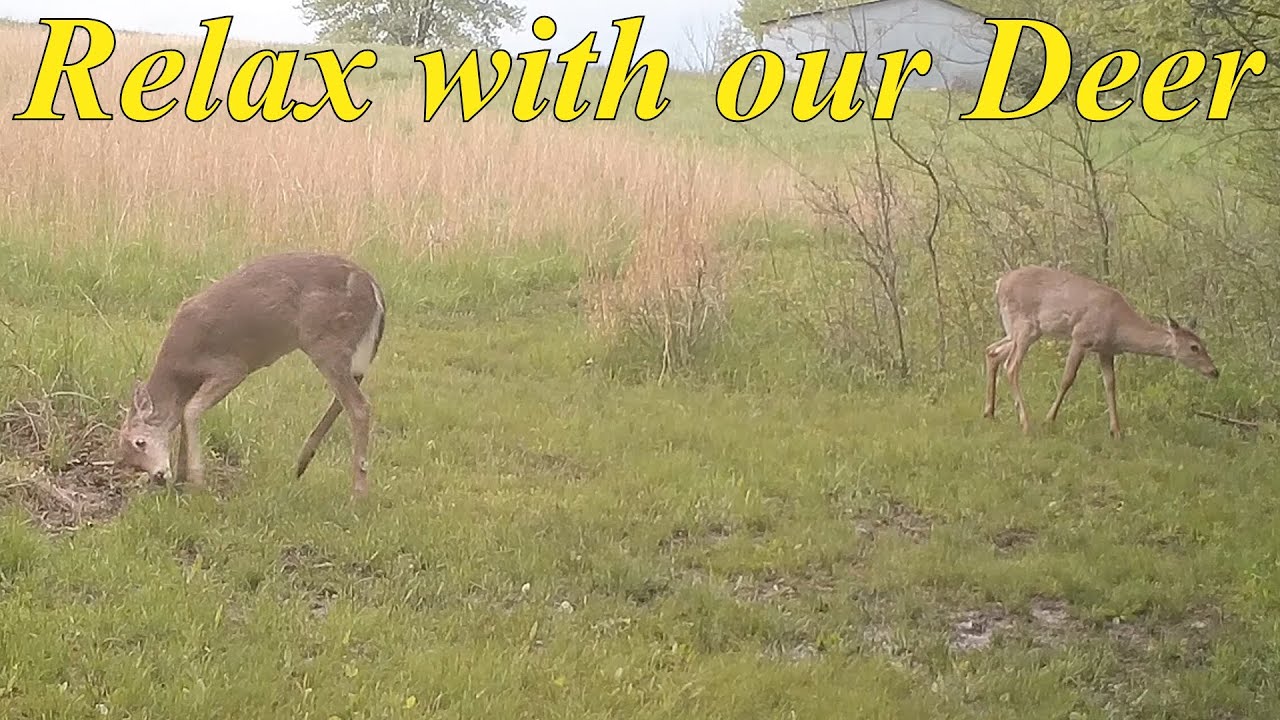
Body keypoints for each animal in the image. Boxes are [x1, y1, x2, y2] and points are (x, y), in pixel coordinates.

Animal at [115, 252, 387, 498]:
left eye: (140, 442)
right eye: (130, 459)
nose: (159, 476)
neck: (181, 372)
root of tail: (375, 290)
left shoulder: (231, 367)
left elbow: (190, 410)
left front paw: (197, 481)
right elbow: (183, 413)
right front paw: (182, 480)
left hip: (327, 341)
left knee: (359, 407)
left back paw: (358, 493)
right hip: (350, 351)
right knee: (347, 400)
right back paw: (303, 464)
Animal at [983, 265, 1219, 437]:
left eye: (1204, 344)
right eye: (1194, 347)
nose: (1214, 371)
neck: (1118, 325)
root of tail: (999, 283)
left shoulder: (1106, 351)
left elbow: (1110, 384)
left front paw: (1116, 431)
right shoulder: (1081, 337)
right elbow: (1067, 379)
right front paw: (1049, 419)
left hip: (1022, 330)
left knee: (992, 351)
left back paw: (989, 413)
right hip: (1024, 325)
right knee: (1011, 365)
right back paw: (1025, 423)